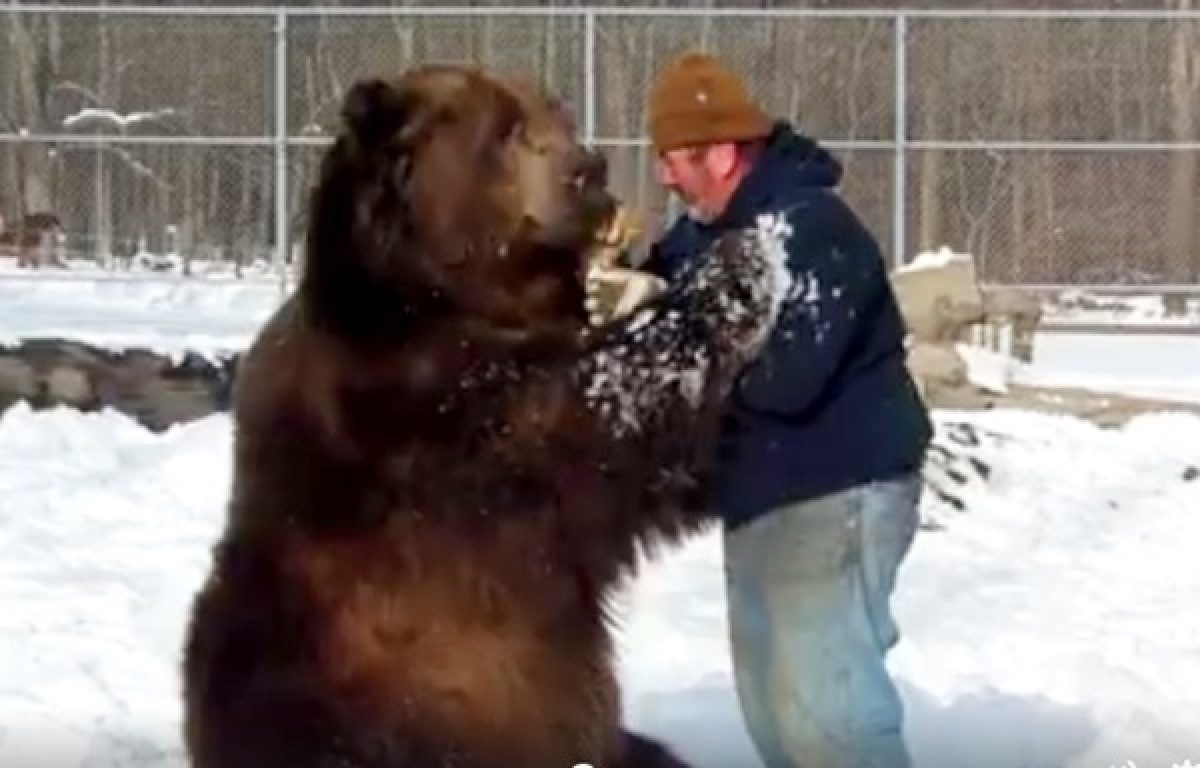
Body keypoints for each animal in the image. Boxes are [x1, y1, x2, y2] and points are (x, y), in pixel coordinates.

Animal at [181, 63, 792, 768]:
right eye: (504, 131)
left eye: (557, 112)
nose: (589, 170)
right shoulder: (425, 417)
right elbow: (598, 415)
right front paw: (742, 259)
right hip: (335, 697)